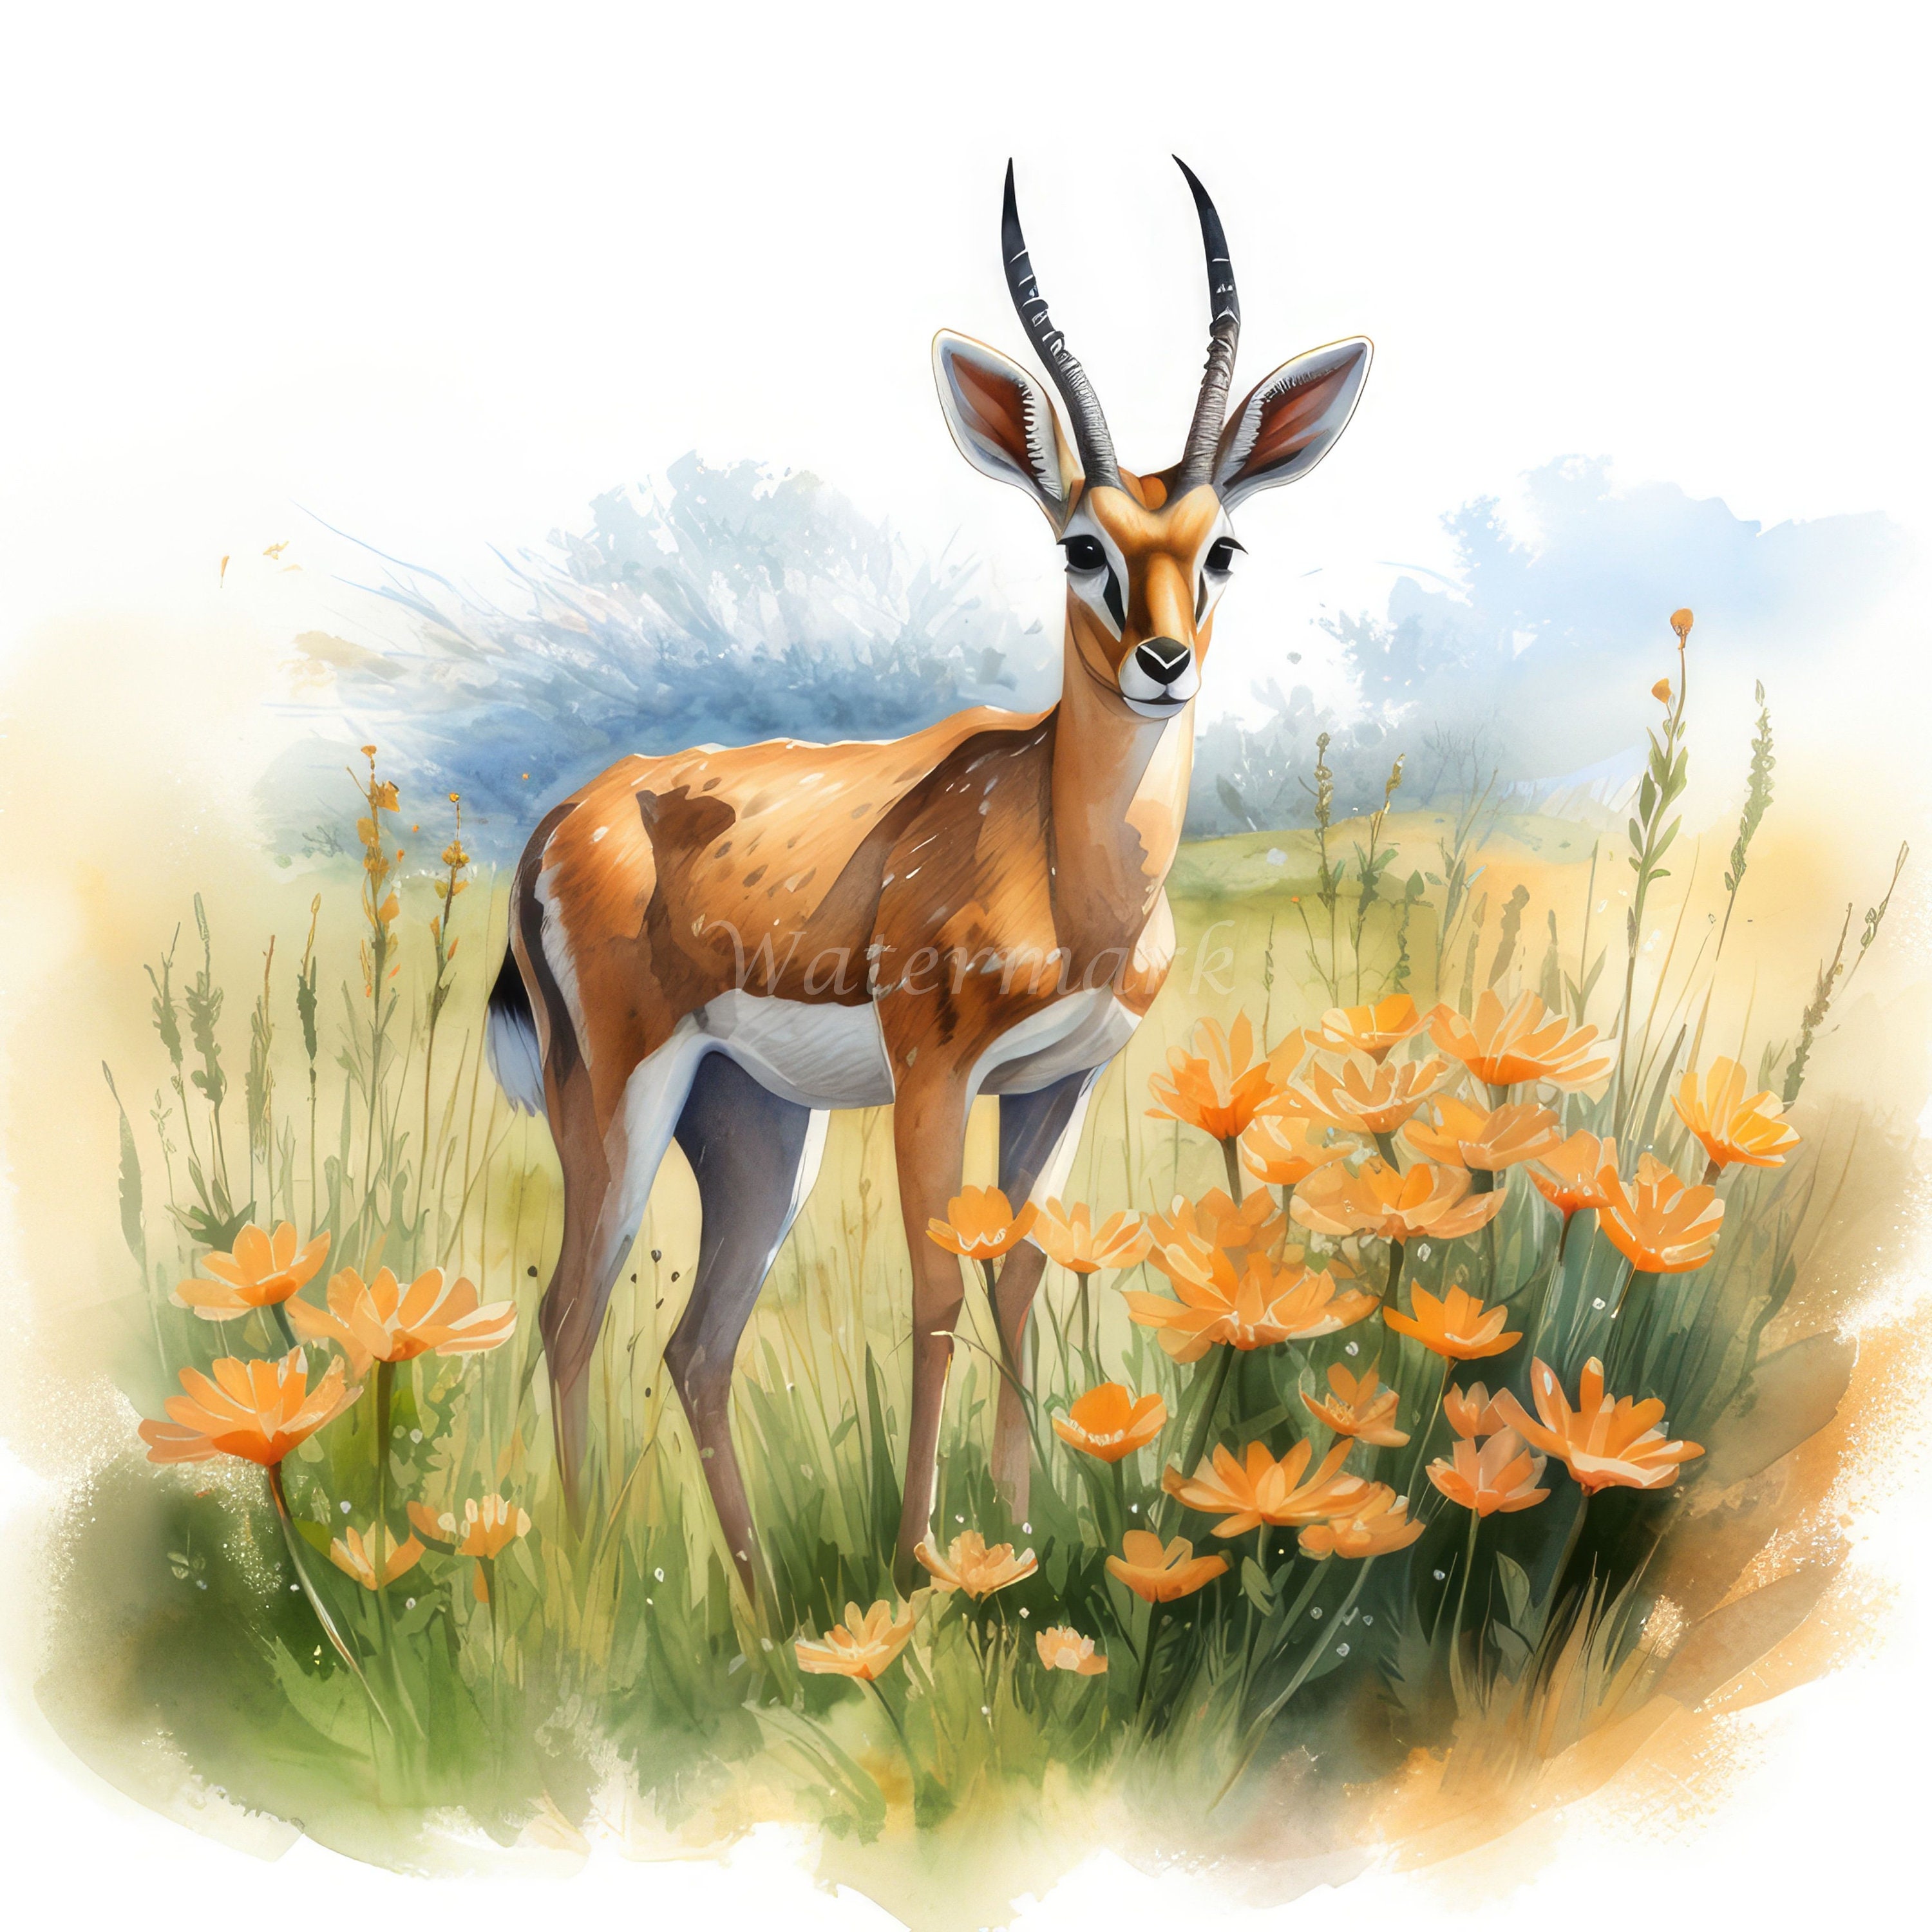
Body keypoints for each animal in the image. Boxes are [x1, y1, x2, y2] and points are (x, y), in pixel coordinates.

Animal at [486, 159, 1371, 1595]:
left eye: (1221, 546)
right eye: (1081, 545)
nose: (1164, 662)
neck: (1069, 863)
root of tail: (564, 816)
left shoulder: (1057, 1083)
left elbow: (1017, 1282)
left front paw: (1014, 1534)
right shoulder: (933, 1073)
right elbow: (941, 1291)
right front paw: (922, 1561)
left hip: (752, 1123)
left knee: (696, 1343)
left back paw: (759, 1604)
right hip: (616, 1095)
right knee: (571, 1311)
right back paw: (582, 1587)